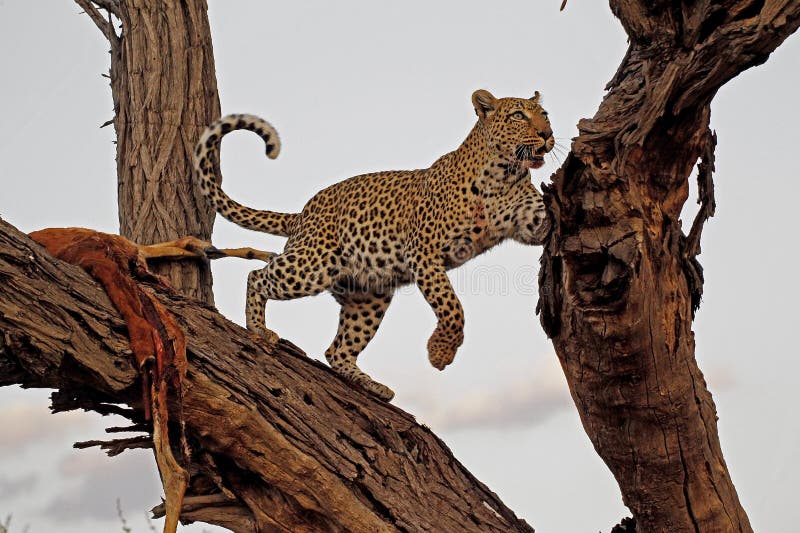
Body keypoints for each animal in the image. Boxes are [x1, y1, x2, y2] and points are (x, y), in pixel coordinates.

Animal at [193, 89, 554, 401]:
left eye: (545, 115)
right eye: (519, 115)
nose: (548, 134)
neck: (503, 173)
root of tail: (301, 215)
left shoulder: (529, 220)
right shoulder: (424, 252)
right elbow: (452, 307)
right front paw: (440, 352)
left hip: (369, 296)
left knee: (337, 350)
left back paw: (371, 385)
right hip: (313, 266)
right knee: (257, 276)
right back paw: (258, 329)